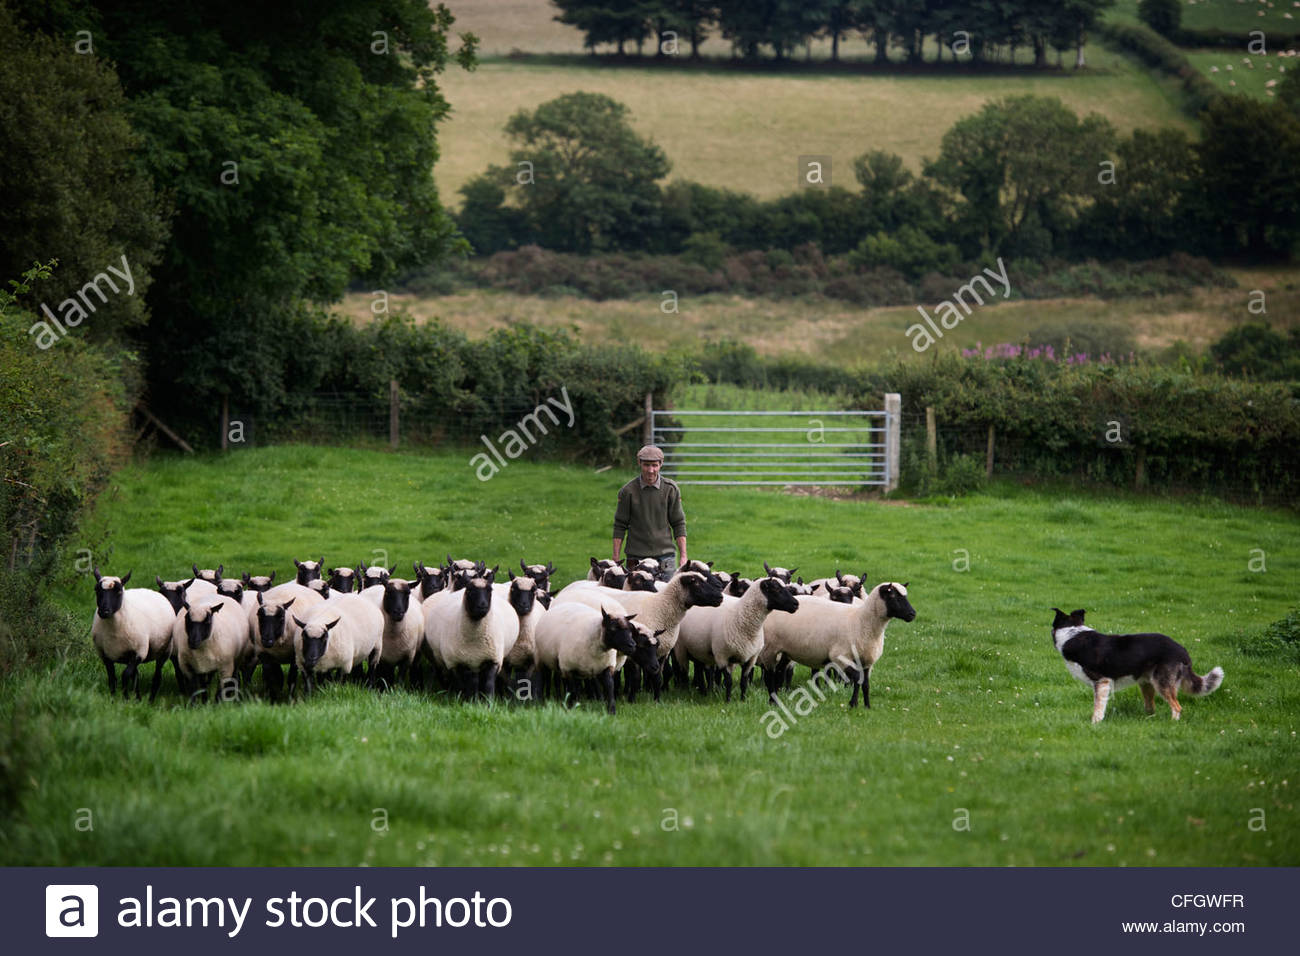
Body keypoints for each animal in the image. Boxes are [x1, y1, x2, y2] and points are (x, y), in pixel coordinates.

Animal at [91, 568, 177, 702]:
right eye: (97, 590)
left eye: (119, 591)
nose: (104, 612)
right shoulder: (104, 655)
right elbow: (112, 678)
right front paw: (113, 699)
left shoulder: (139, 653)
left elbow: (125, 675)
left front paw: (125, 698)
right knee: (136, 675)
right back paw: (138, 698)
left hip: (164, 651)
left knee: (156, 676)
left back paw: (150, 700)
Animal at [423, 569, 518, 699]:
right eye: (469, 590)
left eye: (490, 590)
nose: (482, 605)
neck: (476, 641)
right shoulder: (458, 662)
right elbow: (467, 684)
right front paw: (469, 700)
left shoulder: (492, 659)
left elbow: (488, 683)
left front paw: (488, 700)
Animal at [531, 601, 662, 714]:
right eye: (613, 628)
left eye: (630, 630)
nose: (632, 645)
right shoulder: (569, 669)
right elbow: (573, 689)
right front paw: (572, 708)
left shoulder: (606, 667)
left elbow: (609, 687)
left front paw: (611, 711)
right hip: (544, 659)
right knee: (544, 677)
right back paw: (543, 700)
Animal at [758, 582, 916, 709]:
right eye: (893, 596)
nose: (912, 614)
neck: (861, 621)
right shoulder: (840, 657)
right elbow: (857, 679)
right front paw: (853, 704)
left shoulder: (867, 661)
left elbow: (866, 684)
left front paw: (867, 706)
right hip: (770, 648)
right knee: (769, 675)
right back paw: (772, 700)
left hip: (786, 651)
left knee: (779, 671)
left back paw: (778, 697)